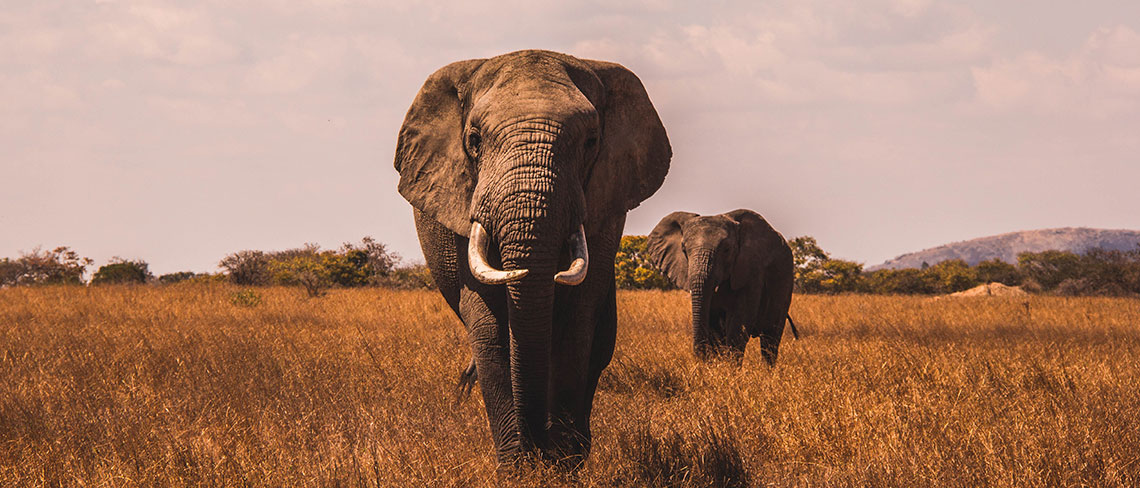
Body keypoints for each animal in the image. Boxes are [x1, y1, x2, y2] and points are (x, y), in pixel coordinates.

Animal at [393, 50, 671, 465]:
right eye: (474, 140)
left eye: (591, 142)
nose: (539, 447)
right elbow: (490, 328)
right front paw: (519, 466)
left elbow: (577, 324)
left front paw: (562, 462)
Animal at [646, 209, 798, 365]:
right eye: (684, 249)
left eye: (727, 249)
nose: (700, 359)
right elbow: (715, 326)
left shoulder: (752, 270)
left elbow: (740, 323)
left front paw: (730, 368)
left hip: (785, 284)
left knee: (770, 339)